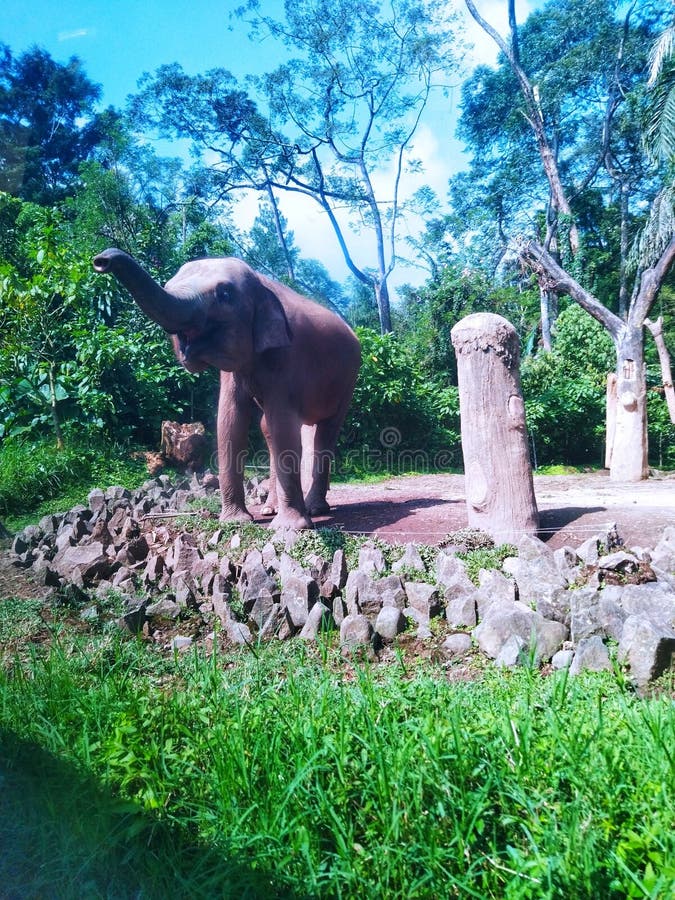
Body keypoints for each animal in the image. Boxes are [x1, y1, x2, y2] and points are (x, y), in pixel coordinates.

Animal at [92, 249, 361, 530]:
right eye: (168, 283)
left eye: (224, 294)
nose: (102, 260)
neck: (261, 282)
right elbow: (229, 421)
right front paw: (236, 522)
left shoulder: (286, 356)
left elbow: (282, 426)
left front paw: (289, 528)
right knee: (271, 428)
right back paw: (271, 509)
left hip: (348, 378)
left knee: (324, 432)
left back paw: (314, 508)